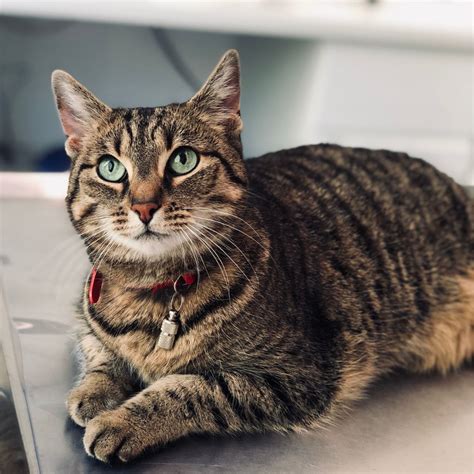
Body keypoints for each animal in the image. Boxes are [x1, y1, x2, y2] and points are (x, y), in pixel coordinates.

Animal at [51, 49, 474, 462]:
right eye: (110, 168)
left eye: (183, 160)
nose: (143, 206)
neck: (151, 292)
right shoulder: (84, 318)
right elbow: (97, 351)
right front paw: (94, 392)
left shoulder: (299, 376)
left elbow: (190, 388)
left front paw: (123, 421)